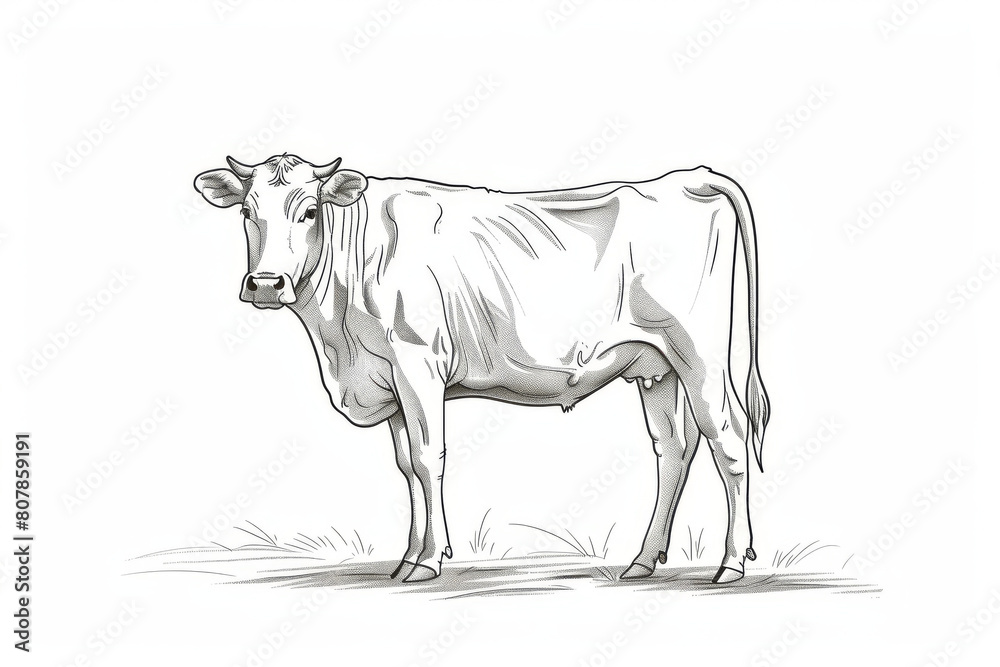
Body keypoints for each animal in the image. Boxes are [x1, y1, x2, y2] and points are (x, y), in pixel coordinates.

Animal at [193, 153, 770, 584]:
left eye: (310, 211)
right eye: (247, 212)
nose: (266, 284)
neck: (339, 337)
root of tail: (688, 177)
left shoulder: (417, 364)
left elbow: (428, 458)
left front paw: (429, 561)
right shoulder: (390, 381)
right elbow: (406, 466)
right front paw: (407, 556)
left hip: (699, 353)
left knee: (730, 440)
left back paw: (731, 563)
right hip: (656, 364)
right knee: (674, 449)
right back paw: (643, 561)